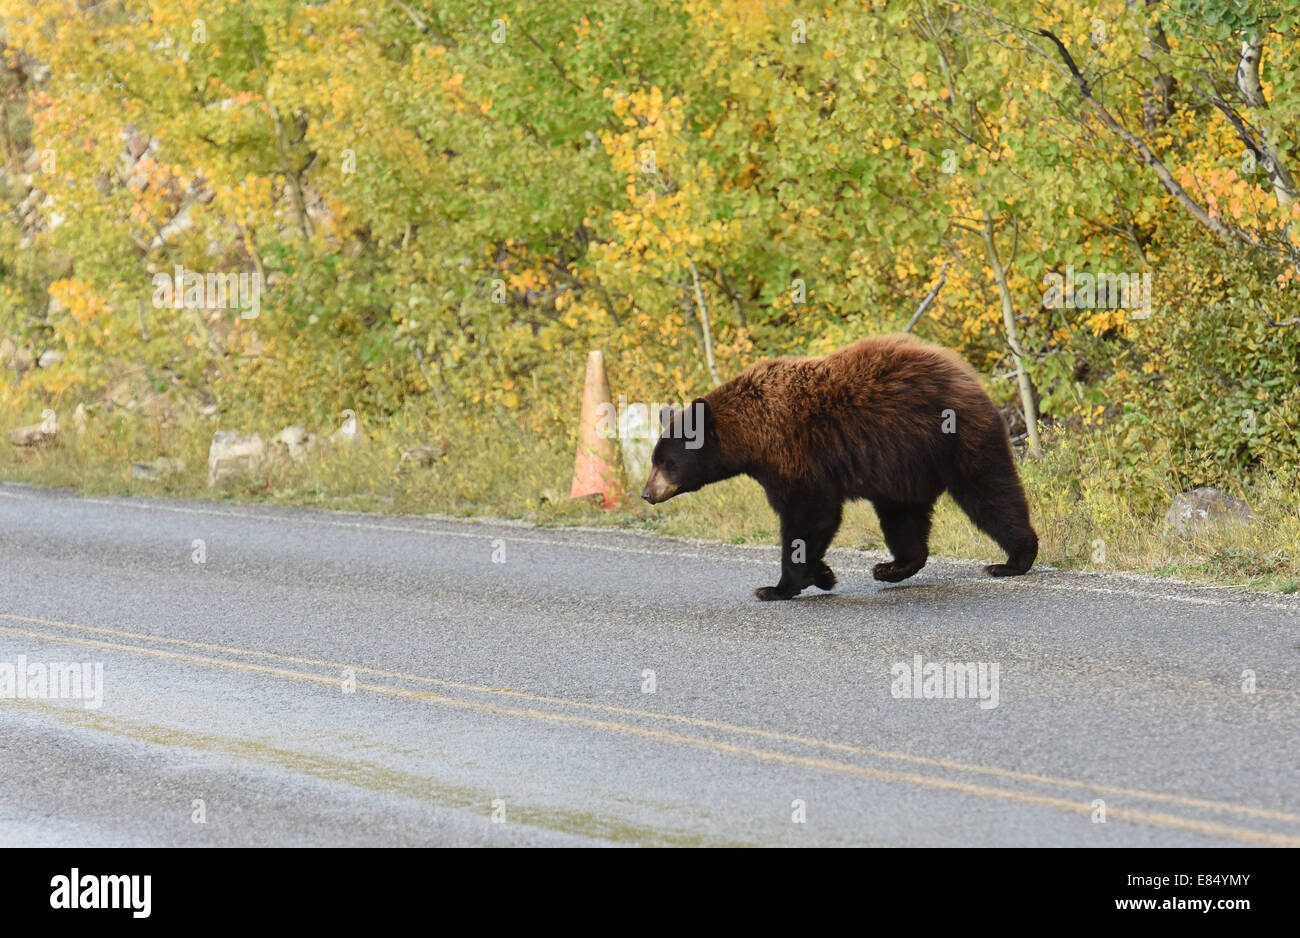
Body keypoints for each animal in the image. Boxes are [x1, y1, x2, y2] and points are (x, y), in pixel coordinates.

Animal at [641, 334, 1038, 600]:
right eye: (654, 459)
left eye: (665, 461)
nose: (646, 493)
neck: (752, 434)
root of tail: (965, 372)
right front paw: (824, 574)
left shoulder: (795, 455)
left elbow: (808, 516)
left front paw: (778, 586)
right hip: (906, 465)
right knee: (904, 516)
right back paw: (892, 567)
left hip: (955, 439)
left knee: (989, 491)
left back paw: (1013, 559)